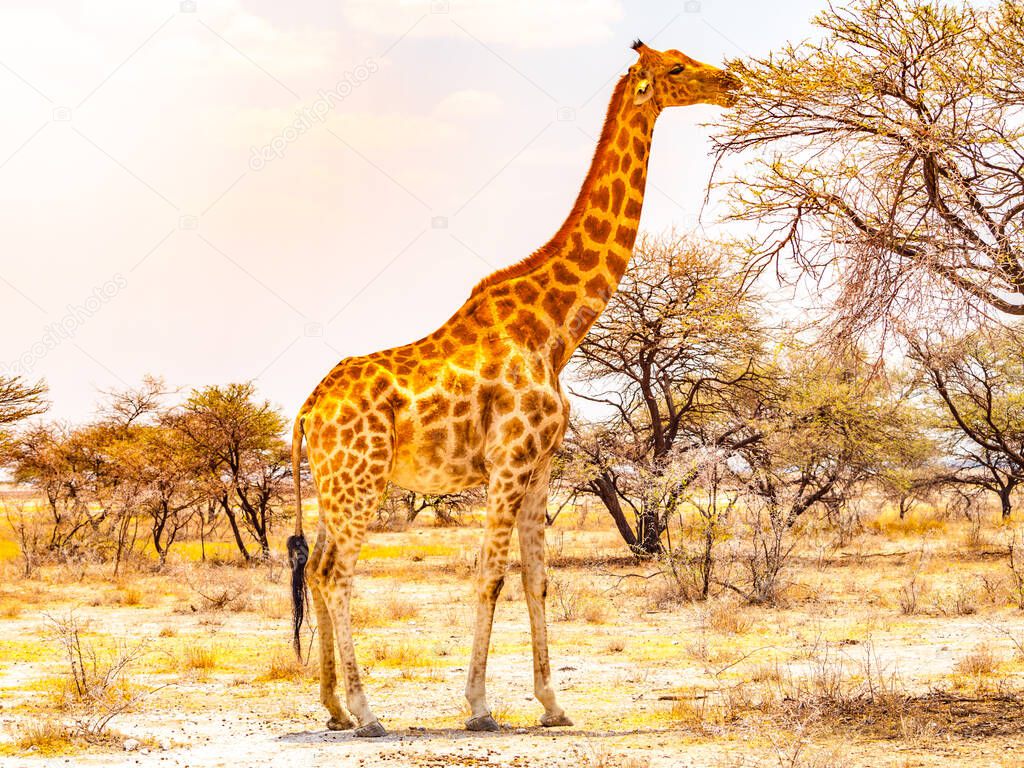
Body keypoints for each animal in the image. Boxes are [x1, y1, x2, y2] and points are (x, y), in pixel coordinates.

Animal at [287, 41, 738, 737]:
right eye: (677, 68)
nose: (732, 81)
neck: (556, 329)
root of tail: (309, 408)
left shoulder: (542, 464)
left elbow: (536, 579)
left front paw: (553, 704)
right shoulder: (509, 460)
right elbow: (490, 574)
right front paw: (479, 706)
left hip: (336, 487)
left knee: (314, 568)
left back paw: (334, 707)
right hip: (360, 482)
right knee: (336, 574)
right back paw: (367, 712)